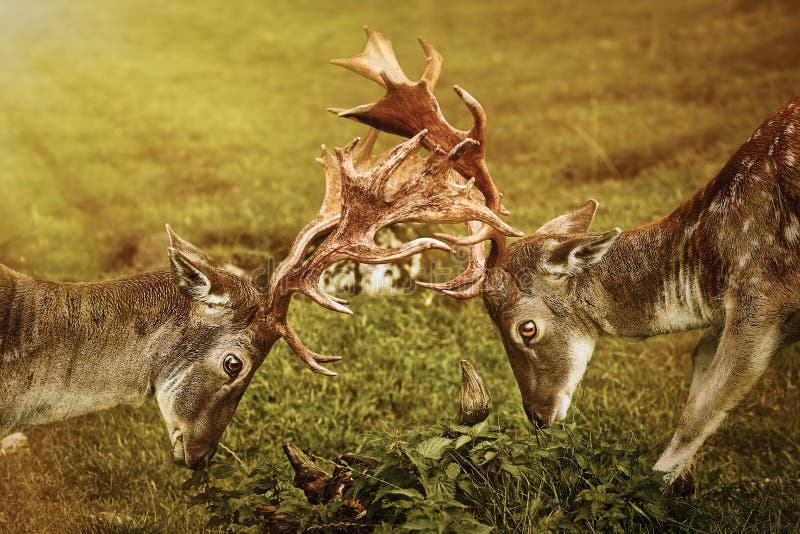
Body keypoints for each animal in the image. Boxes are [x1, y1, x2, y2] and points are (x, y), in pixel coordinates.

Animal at [330, 27, 800, 494]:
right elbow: (698, 369)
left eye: (527, 328)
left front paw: (648, 492)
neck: (710, 267)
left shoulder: (762, 295)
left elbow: (699, 411)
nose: (538, 418)